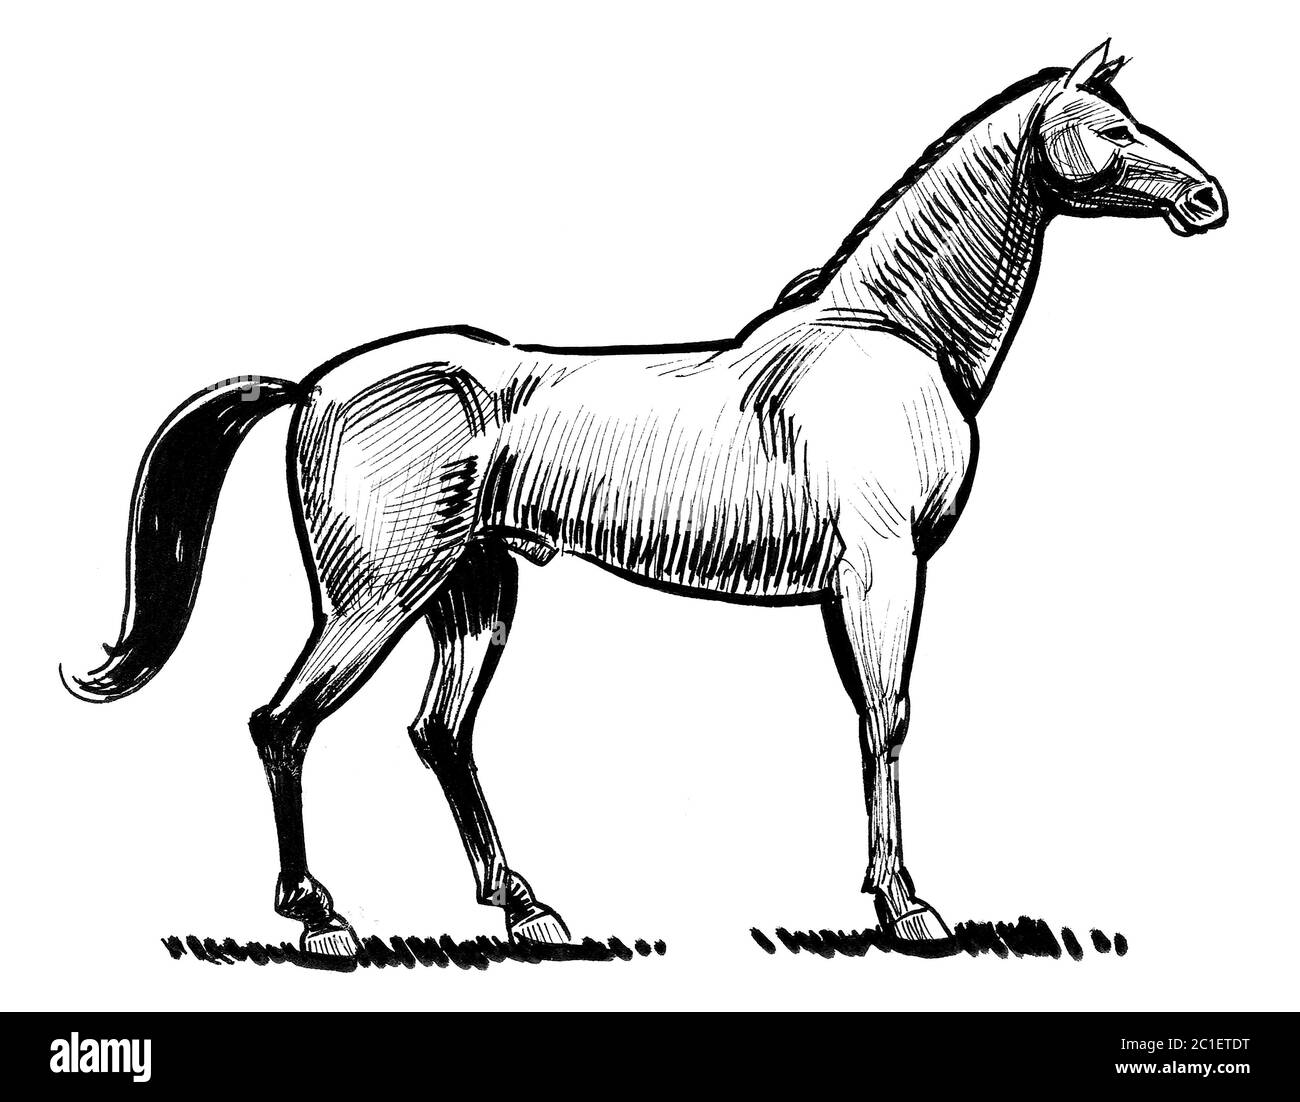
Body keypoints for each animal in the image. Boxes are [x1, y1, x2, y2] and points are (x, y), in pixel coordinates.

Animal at [65, 42, 1227, 958]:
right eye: (1110, 129)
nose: (1207, 198)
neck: (886, 333)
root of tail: (311, 385)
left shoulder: (856, 586)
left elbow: (868, 717)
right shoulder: (881, 572)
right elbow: (886, 718)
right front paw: (907, 910)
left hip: (472, 592)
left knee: (438, 734)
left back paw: (525, 909)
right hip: (378, 596)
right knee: (283, 724)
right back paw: (322, 918)